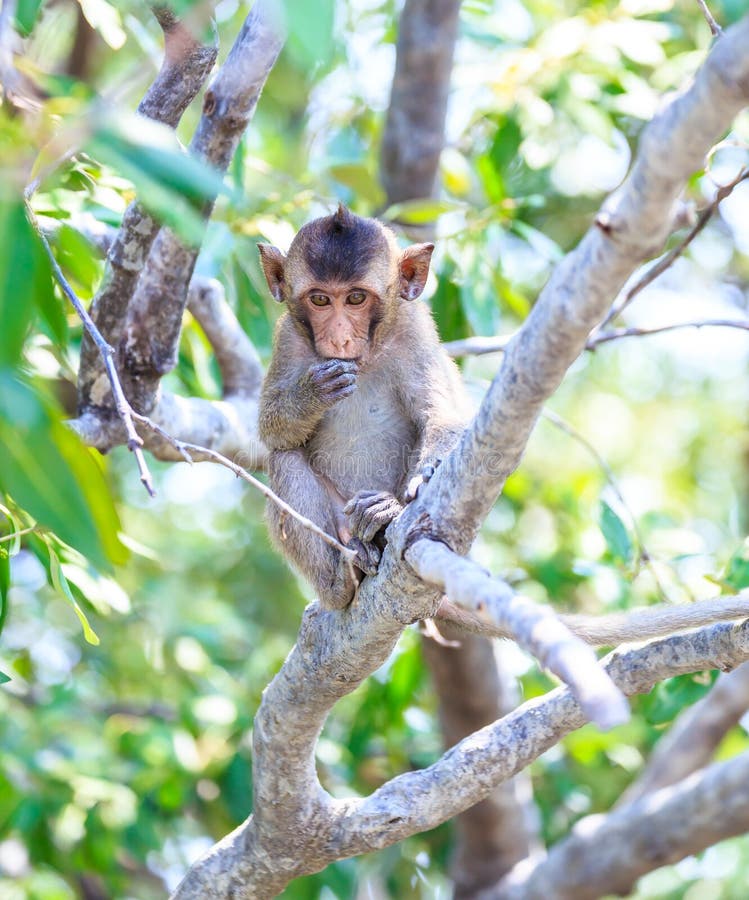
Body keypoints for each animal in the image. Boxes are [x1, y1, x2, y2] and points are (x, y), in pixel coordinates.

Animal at [257, 204, 749, 648]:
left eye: (356, 298)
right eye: (320, 299)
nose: (340, 337)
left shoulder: (414, 330)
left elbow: (443, 415)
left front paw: (422, 479)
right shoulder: (289, 336)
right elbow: (271, 430)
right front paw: (311, 393)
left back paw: (383, 517)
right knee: (284, 460)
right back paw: (343, 580)